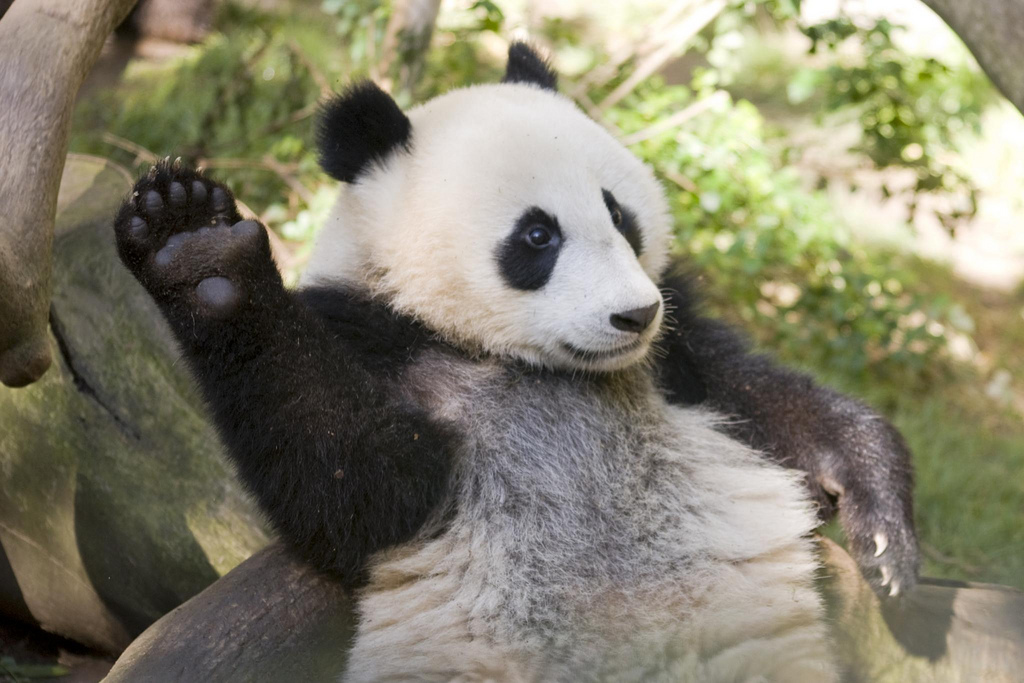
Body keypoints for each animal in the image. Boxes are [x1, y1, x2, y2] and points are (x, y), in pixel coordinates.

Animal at [113, 43, 919, 681]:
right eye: (537, 235)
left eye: (619, 213)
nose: (634, 315)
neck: (523, 360)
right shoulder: (377, 340)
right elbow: (353, 480)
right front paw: (195, 246)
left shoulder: (678, 352)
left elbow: (763, 400)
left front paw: (882, 527)